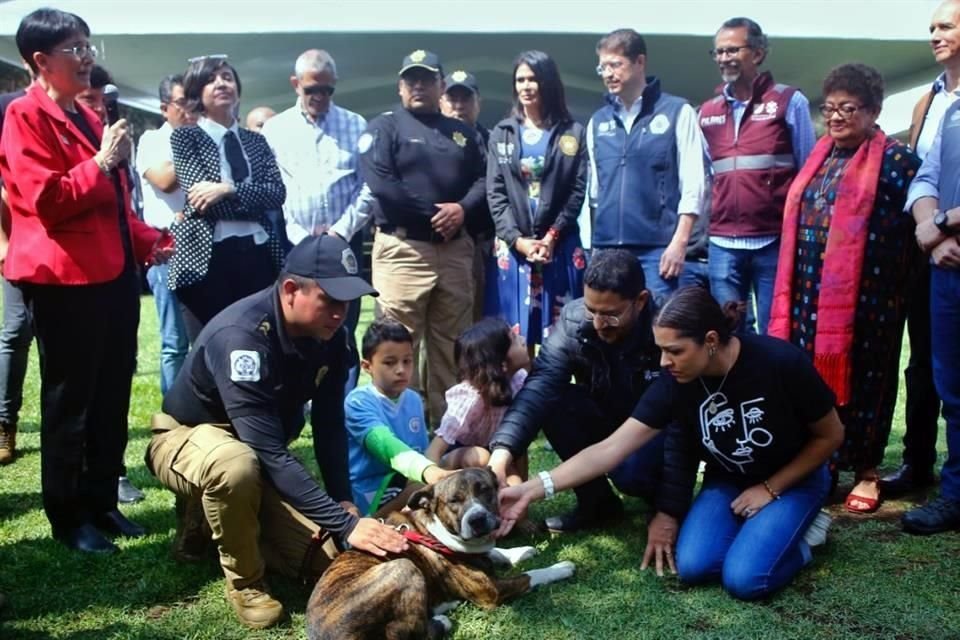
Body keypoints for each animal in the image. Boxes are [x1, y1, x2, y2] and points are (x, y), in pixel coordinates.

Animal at [308, 464, 576, 640]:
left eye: (485, 490)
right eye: (453, 501)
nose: (477, 519)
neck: (438, 531)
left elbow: (496, 551)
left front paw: (519, 552)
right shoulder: (491, 591)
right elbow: (531, 575)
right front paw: (559, 568)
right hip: (404, 567)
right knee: (403, 633)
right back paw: (441, 619)